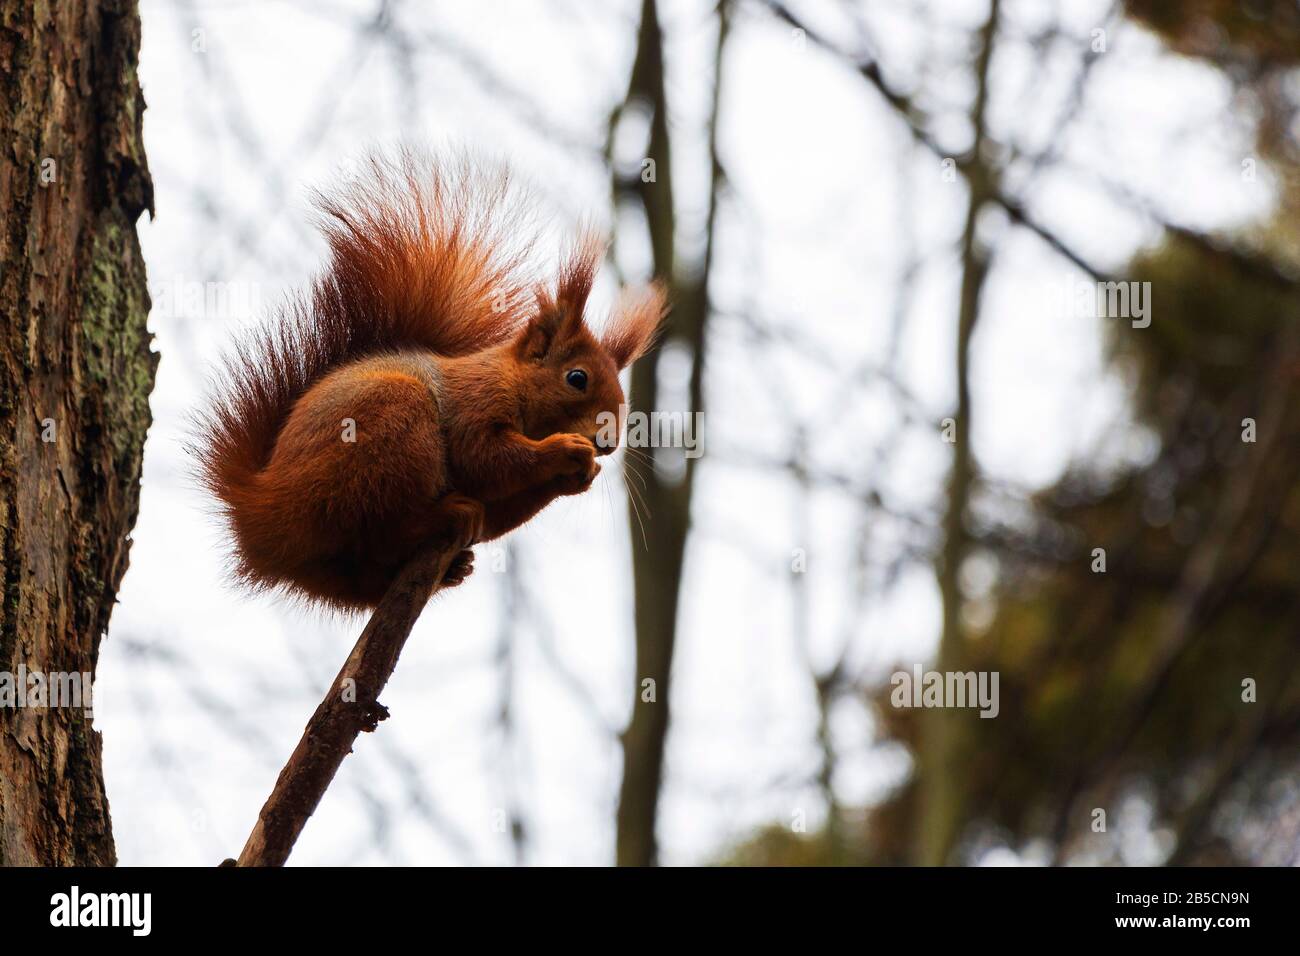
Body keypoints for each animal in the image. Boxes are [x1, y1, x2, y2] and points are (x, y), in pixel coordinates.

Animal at [193, 150, 665, 612]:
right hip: (384, 430)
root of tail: (262, 510)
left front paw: (579, 475)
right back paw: (441, 515)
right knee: (382, 525)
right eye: (577, 377)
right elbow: (485, 456)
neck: (512, 382)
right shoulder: (475, 400)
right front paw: (563, 450)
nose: (609, 443)